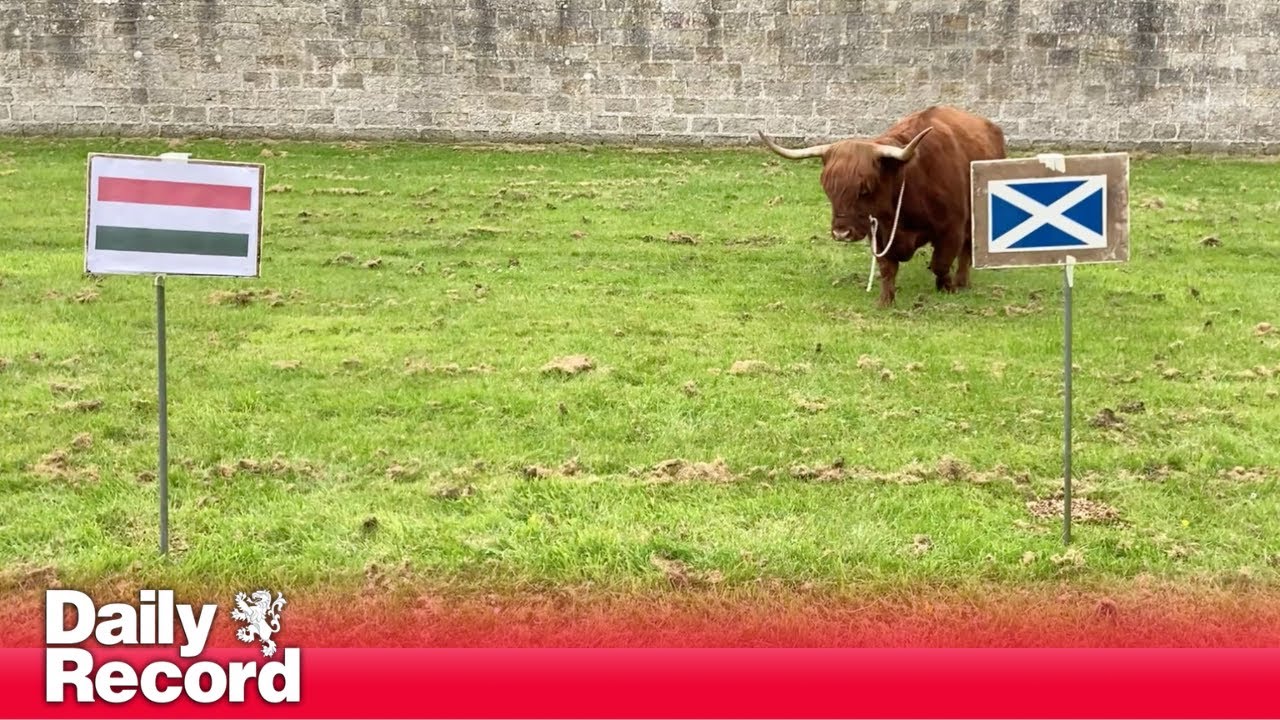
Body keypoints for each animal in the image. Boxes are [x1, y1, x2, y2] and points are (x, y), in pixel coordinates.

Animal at [758, 106, 1007, 307]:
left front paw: (947, 288)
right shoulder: (878, 232)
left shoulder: (951, 228)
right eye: (828, 189)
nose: (841, 233)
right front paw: (885, 301)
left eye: (865, 189)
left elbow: (940, 263)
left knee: (966, 250)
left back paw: (962, 282)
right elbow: (887, 268)